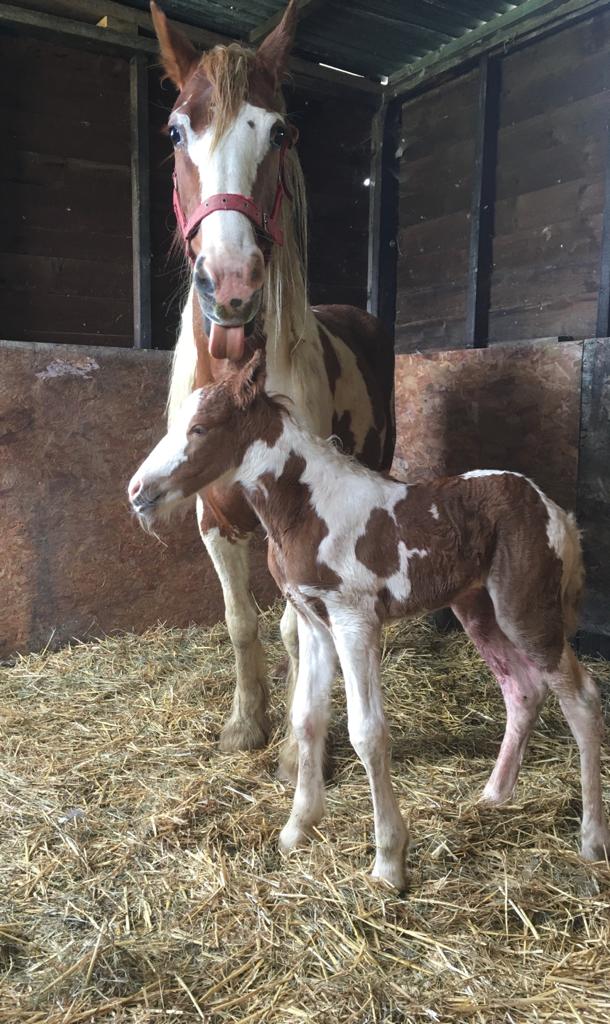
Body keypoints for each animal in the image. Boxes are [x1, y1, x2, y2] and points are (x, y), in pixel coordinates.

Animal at [129, 352, 610, 888]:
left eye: (200, 428)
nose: (137, 493)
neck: (308, 508)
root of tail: (553, 509)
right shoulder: (315, 622)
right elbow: (307, 718)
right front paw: (297, 829)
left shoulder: (353, 620)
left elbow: (367, 731)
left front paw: (388, 862)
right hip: (478, 611)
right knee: (522, 690)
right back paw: (493, 795)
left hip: (524, 609)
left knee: (582, 699)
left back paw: (592, 840)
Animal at [149, 0, 395, 779]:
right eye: (176, 130)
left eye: (279, 131)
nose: (230, 285)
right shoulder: (213, 521)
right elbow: (240, 623)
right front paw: (244, 725)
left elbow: (294, 632)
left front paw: (296, 753)